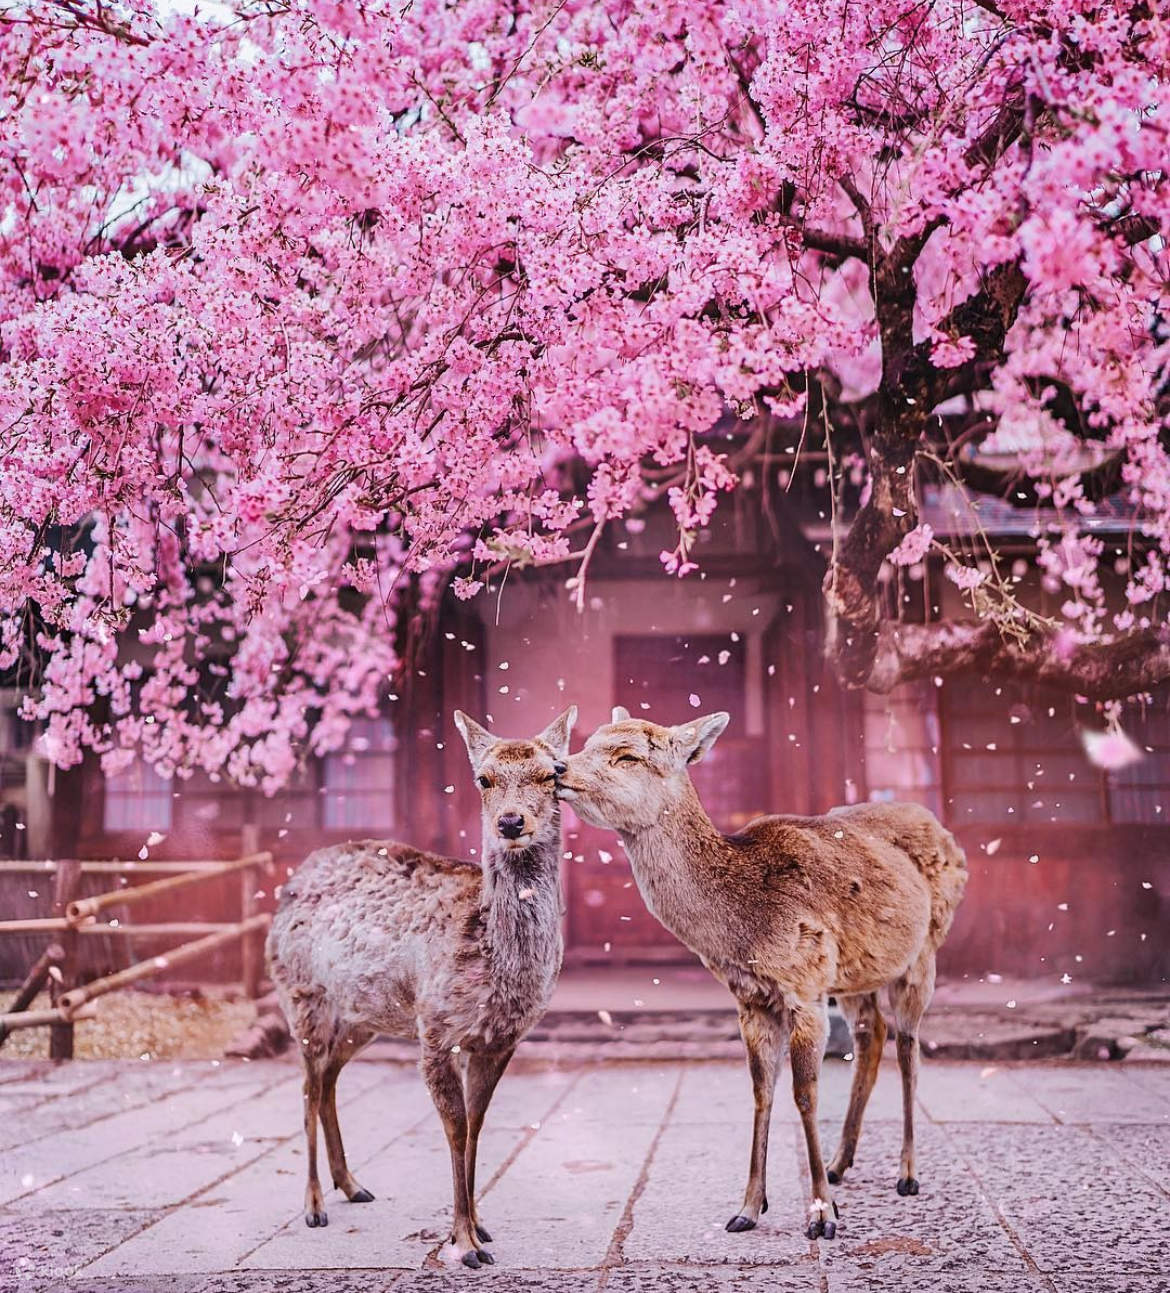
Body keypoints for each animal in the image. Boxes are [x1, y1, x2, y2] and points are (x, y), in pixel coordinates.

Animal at [266, 706, 576, 1270]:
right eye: (484, 778)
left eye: (553, 773)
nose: (511, 822)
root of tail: (293, 879)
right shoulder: (436, 1028)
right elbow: (454, 1128)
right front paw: (465, 1244)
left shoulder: (499, 1039)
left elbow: (477, 1124)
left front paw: (481, 1226)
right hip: (301, 997)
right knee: (305, 1086)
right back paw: (315, 1205)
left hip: (364, 1015)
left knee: (329, 1079)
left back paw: (353, 1185)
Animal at [558, 707, 966, 1241]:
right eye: (588, 742)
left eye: (627, 756)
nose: (558, 767)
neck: (743, 930)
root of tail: (943, 828)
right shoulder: (750, 996)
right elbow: (760, 1090)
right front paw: (749, 1208)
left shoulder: (805, 985)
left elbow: (804, 1093)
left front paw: (822, 1216)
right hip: (855, 974)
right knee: (872, 1034)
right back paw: (840, 1162)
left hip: (923, 954)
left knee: (910, 1046)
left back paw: (908, 1174)